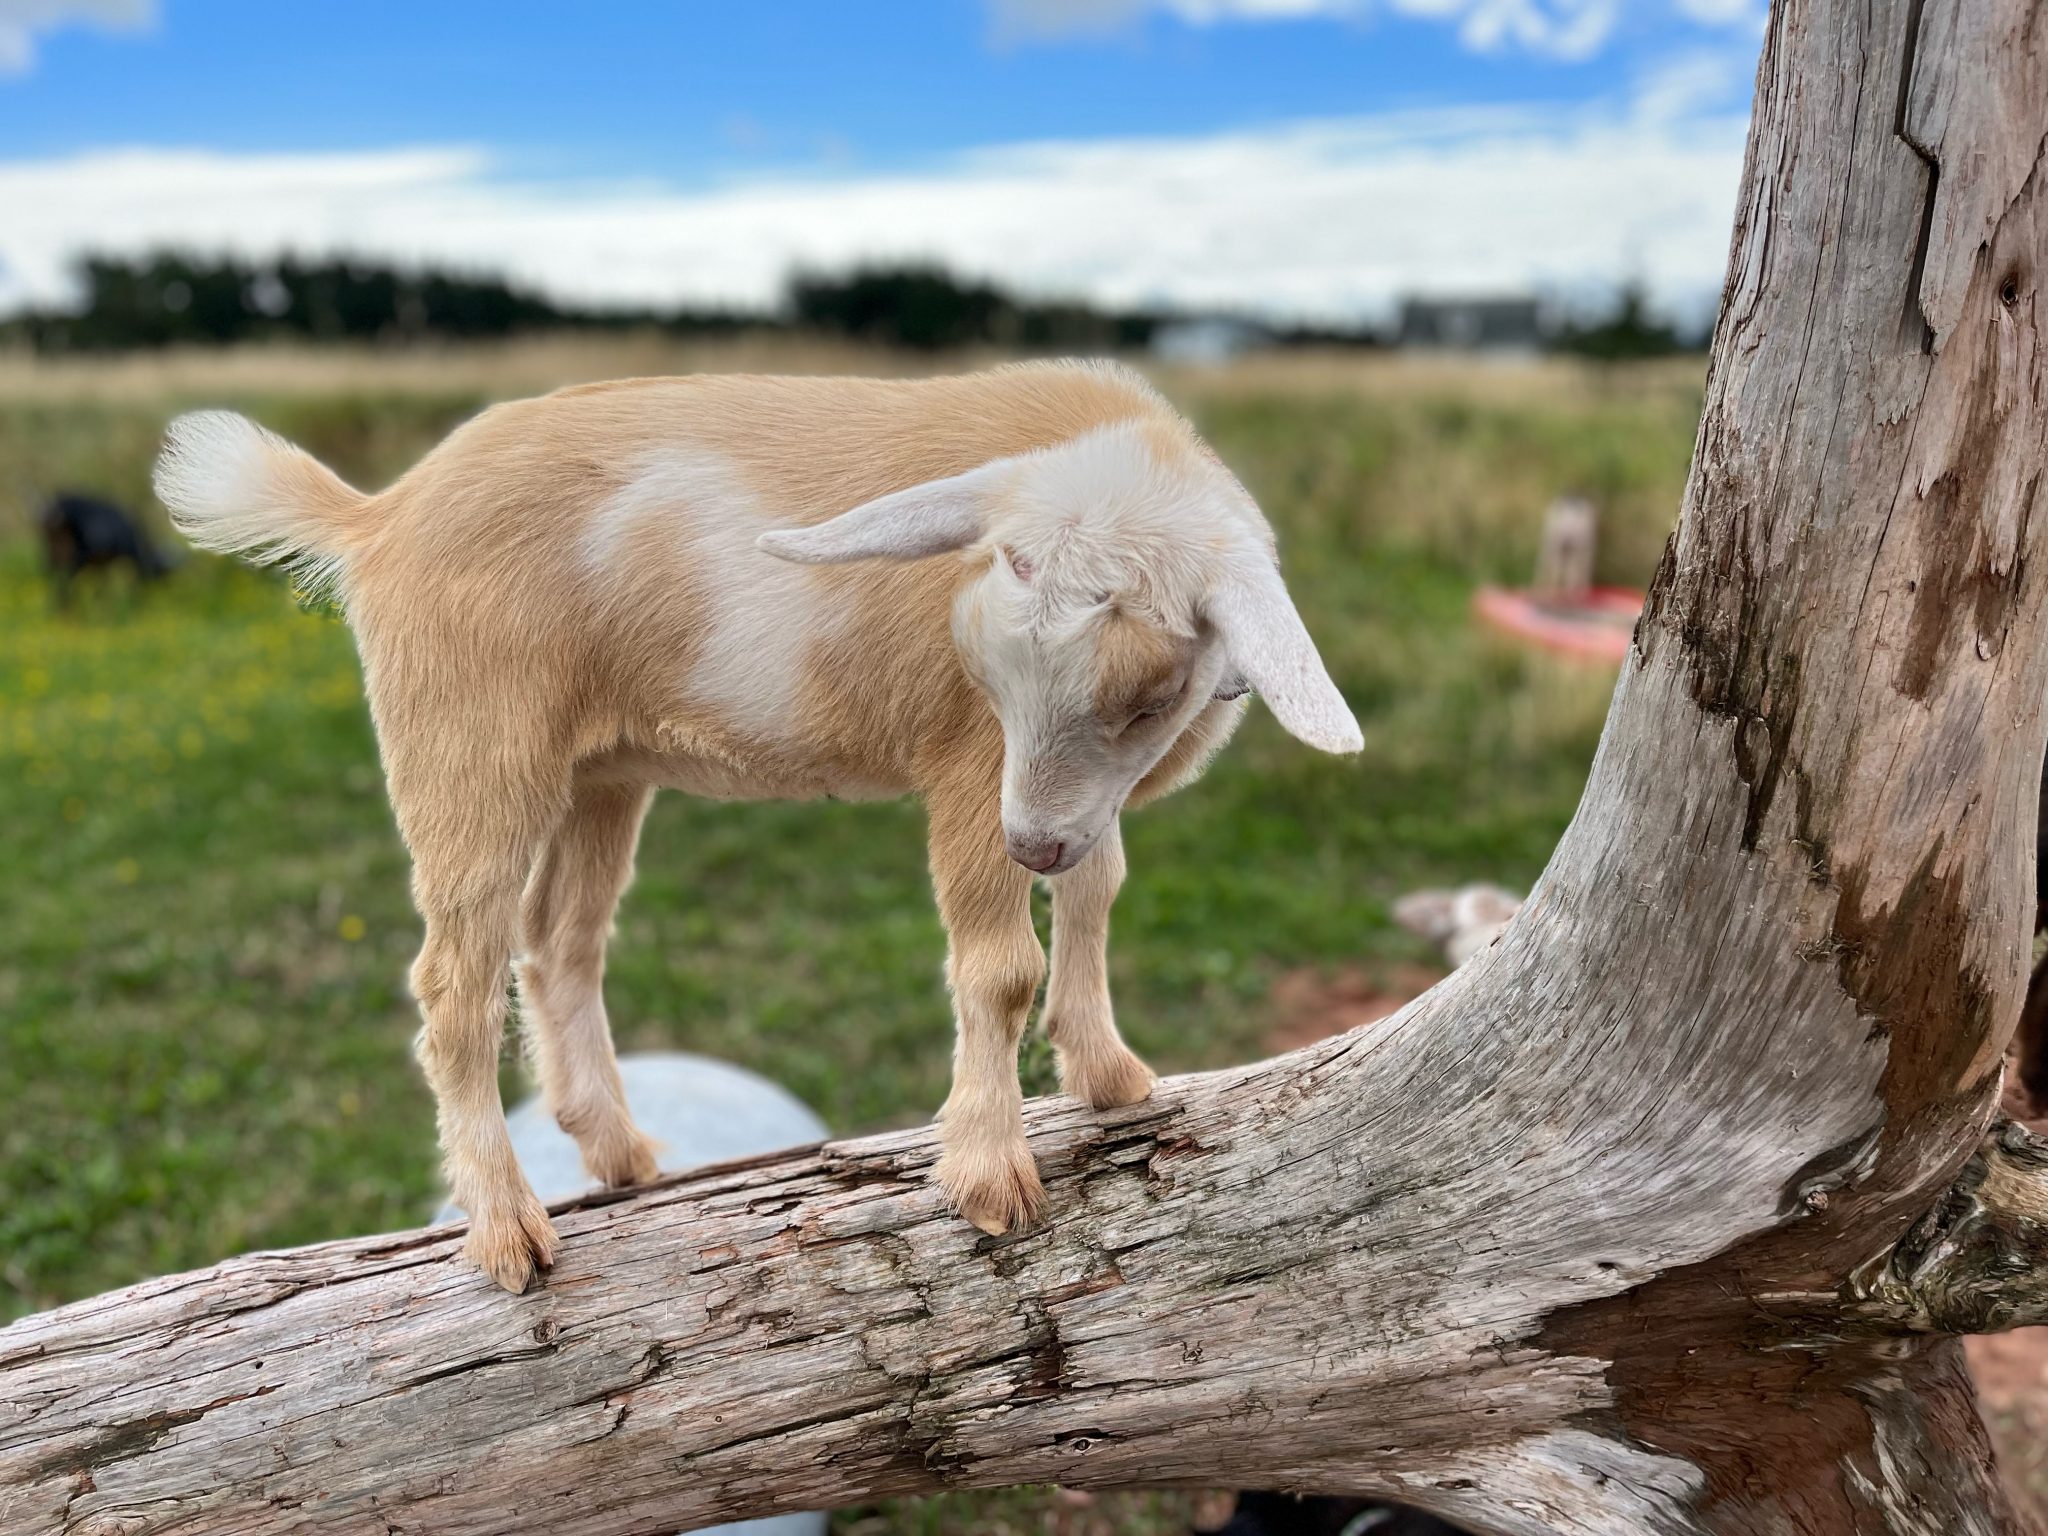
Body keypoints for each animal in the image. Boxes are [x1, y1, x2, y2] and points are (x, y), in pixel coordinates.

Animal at [154, 361, 1360, 1292]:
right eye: (985, 668)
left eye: (1148, 702)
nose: (1031, 846)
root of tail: (378, 516)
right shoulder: (973, 767)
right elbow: (999, 965)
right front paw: (989, 1172)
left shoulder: (1072, 797)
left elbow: (1097, 897)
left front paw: (1108, 1074)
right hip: (469, 749)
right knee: (453, 982)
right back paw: (505, 1231)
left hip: (599, 772)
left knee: (559, 941)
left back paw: (620, 1153)